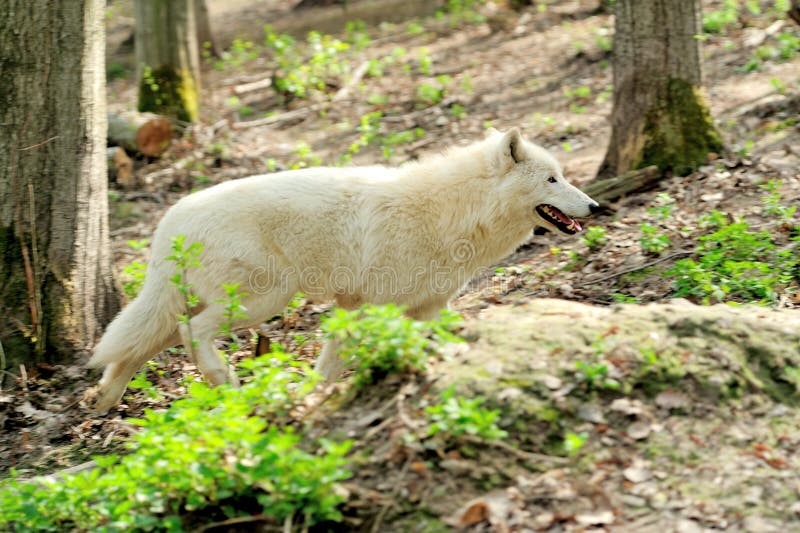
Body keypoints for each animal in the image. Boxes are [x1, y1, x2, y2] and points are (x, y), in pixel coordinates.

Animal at [86, 128, 599, 411]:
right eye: (553, 179)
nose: (595, 205)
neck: (451, 210)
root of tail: (169, 222)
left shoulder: (419, 308)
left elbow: (337, 365)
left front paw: (307, 400)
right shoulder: (368, 306)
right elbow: (338, 360)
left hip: (207, 304)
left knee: (138, 345)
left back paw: (104, 399)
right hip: (265, 299)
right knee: (190, 332)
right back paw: (224, 380)